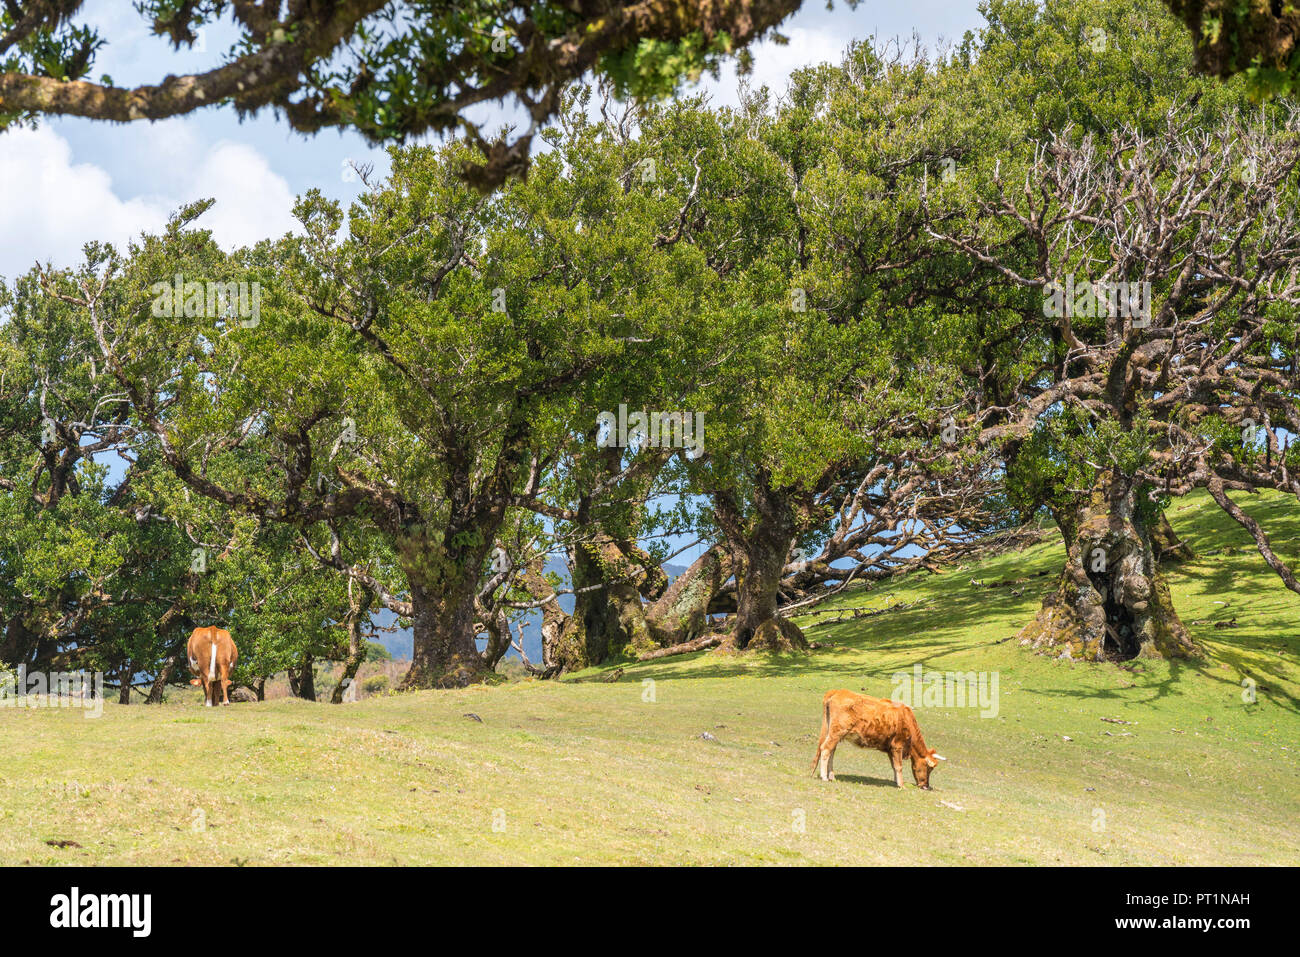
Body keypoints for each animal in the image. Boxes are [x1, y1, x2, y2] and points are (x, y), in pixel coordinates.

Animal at [812, 689, 945, 789]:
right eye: (929, 768)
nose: (926, 786)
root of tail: (837, 691)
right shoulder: (897, 745)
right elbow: (899, 766)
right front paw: (901, 785)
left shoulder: (890, 748)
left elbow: (894, 765)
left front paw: (896, 781)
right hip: (837, 732)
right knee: (826, 749)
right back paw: (824, 777)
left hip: (833, 733)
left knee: (831, 751)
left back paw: (832, 776)